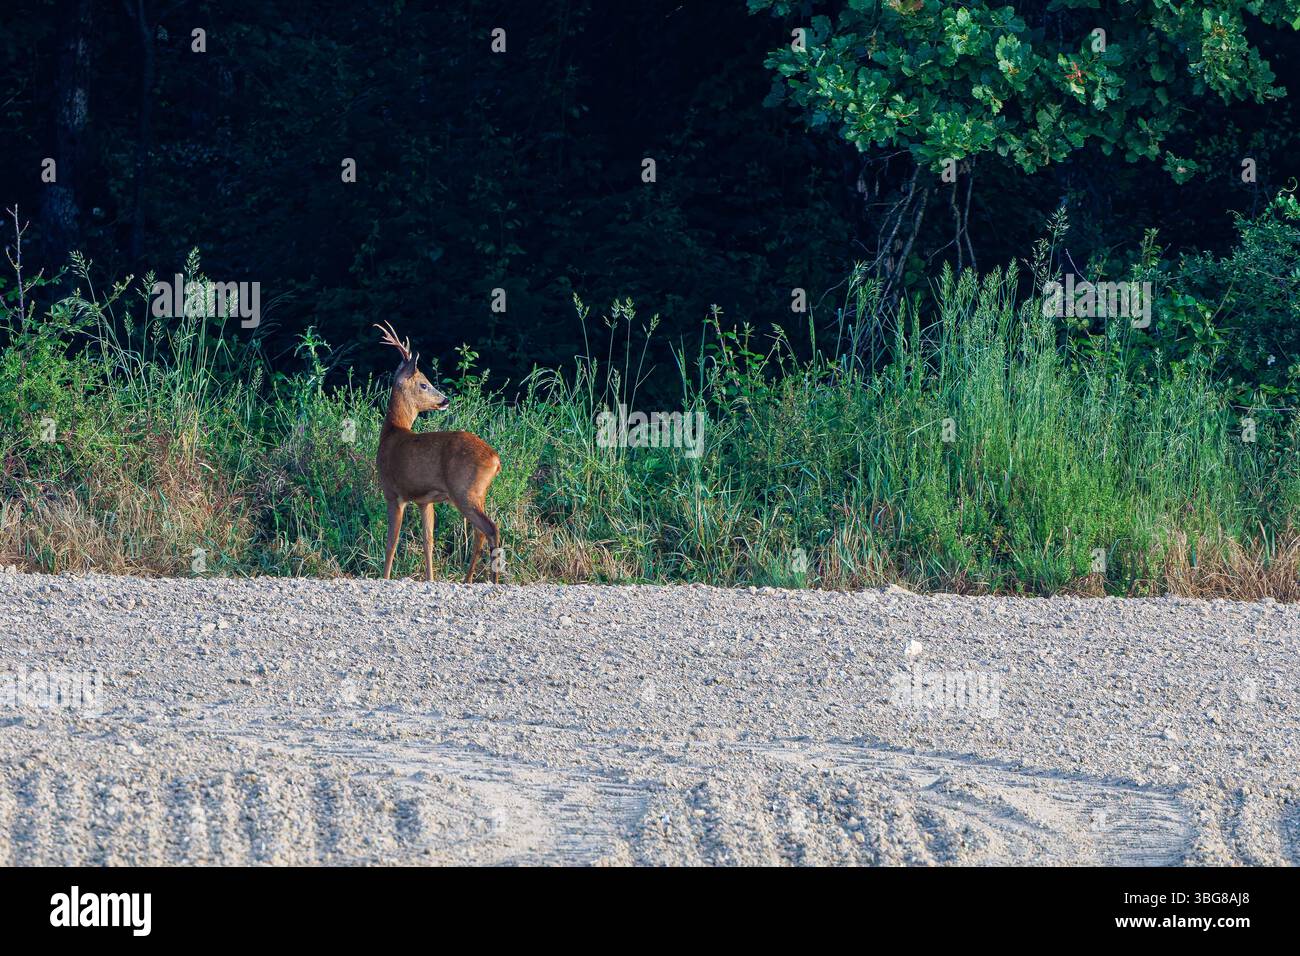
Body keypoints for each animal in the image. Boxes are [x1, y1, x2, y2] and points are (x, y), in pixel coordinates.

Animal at [373, 321, 502, 584]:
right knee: (480, 532)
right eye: (424, 384)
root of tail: (495, 459)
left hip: (464, 490)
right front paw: (430, 578)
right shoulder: (425, 500)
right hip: (478, 492)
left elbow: (391, 541)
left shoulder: (393, 492)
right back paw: (468, 579)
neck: (392, 433)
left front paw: (385, 577)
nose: (445, 400)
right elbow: (428, 541)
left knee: (490, 528)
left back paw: (491, 581)